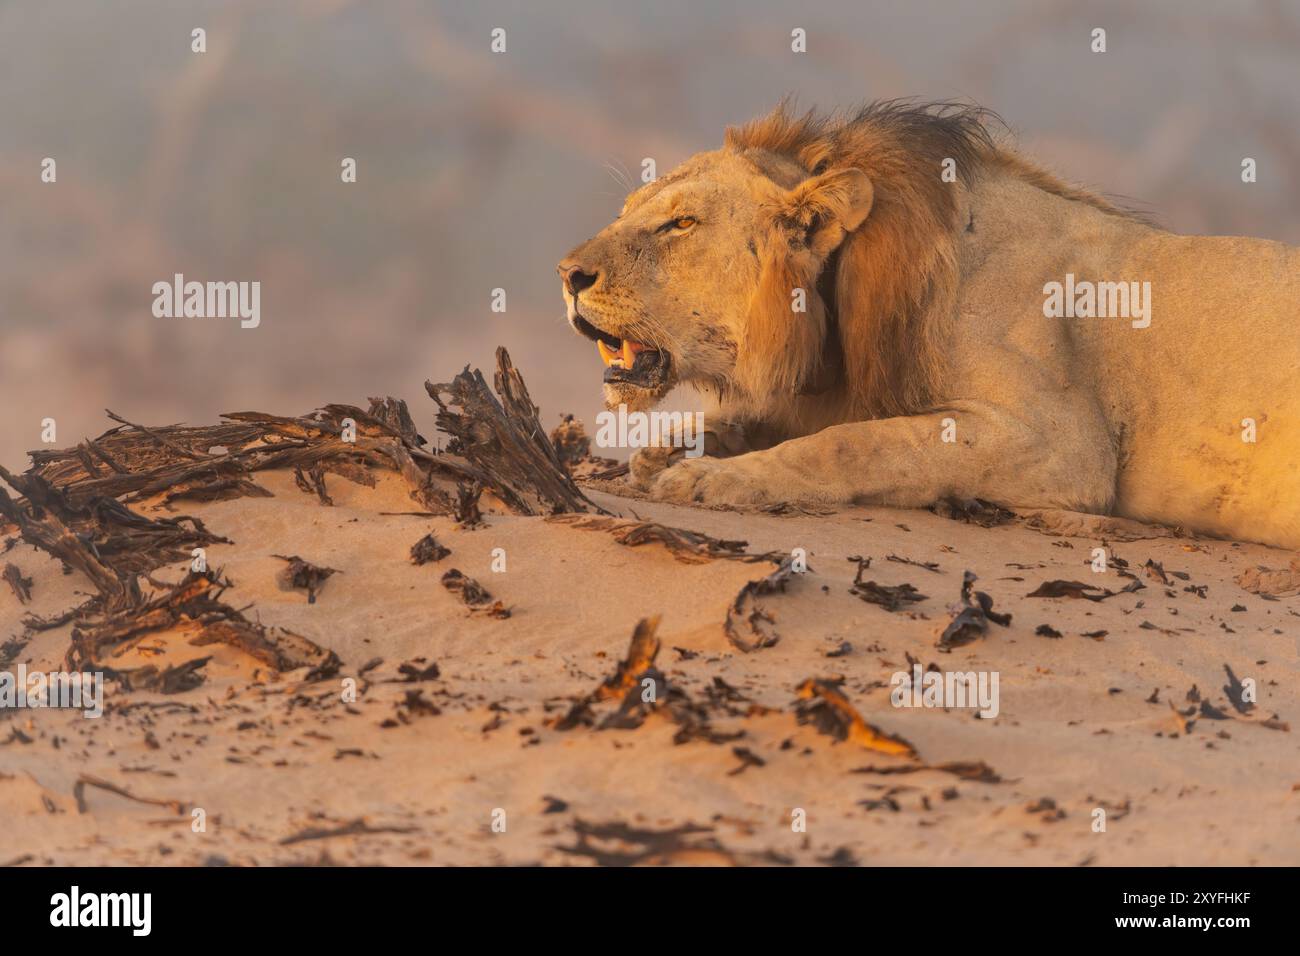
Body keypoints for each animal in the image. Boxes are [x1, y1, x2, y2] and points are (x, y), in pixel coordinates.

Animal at [556, 101, 1300, 550]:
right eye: (629, 211)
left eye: (680, 224)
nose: (566, 273)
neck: (836, 312)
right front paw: (676, 450)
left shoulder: (1061, 445)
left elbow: (855, 445)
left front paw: (712, 481)